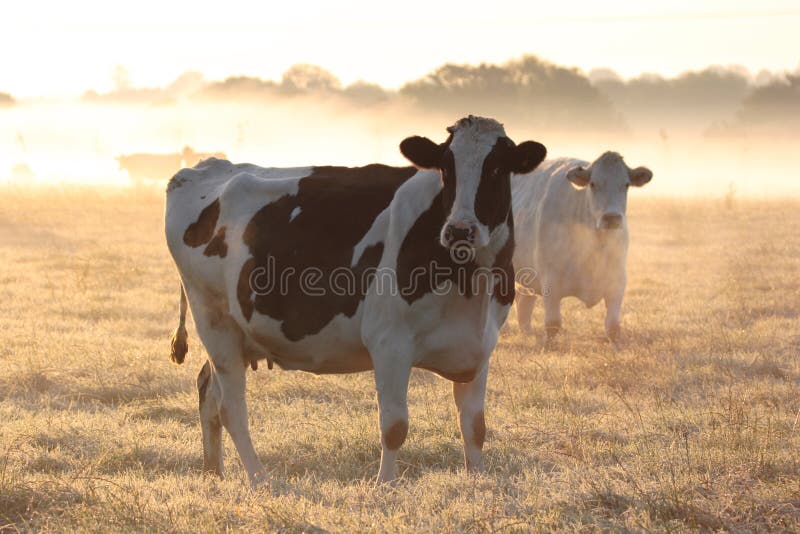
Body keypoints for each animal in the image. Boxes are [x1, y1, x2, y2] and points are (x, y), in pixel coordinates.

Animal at [164, 116, 547, 485]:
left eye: (497, 169)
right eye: (445, 168)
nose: (459, 230)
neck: (471, 284)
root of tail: (205, 168)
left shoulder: (480, 347)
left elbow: (474, 425)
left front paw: (477, 480)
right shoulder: (390, 343)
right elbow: (394, 426)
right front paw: (385, 487)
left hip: (237, 335)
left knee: (208, 391)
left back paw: (213, 472)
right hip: (214, 320)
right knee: (231, 408)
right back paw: (260, 479)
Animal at [511, 152, 652, 345]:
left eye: (626, 184)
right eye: (593, 184)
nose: (612, 217)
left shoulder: (617, 281)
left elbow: (613, 326)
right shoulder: (550, 281)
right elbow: (553, 324)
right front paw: (548, 348)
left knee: (524, 302)